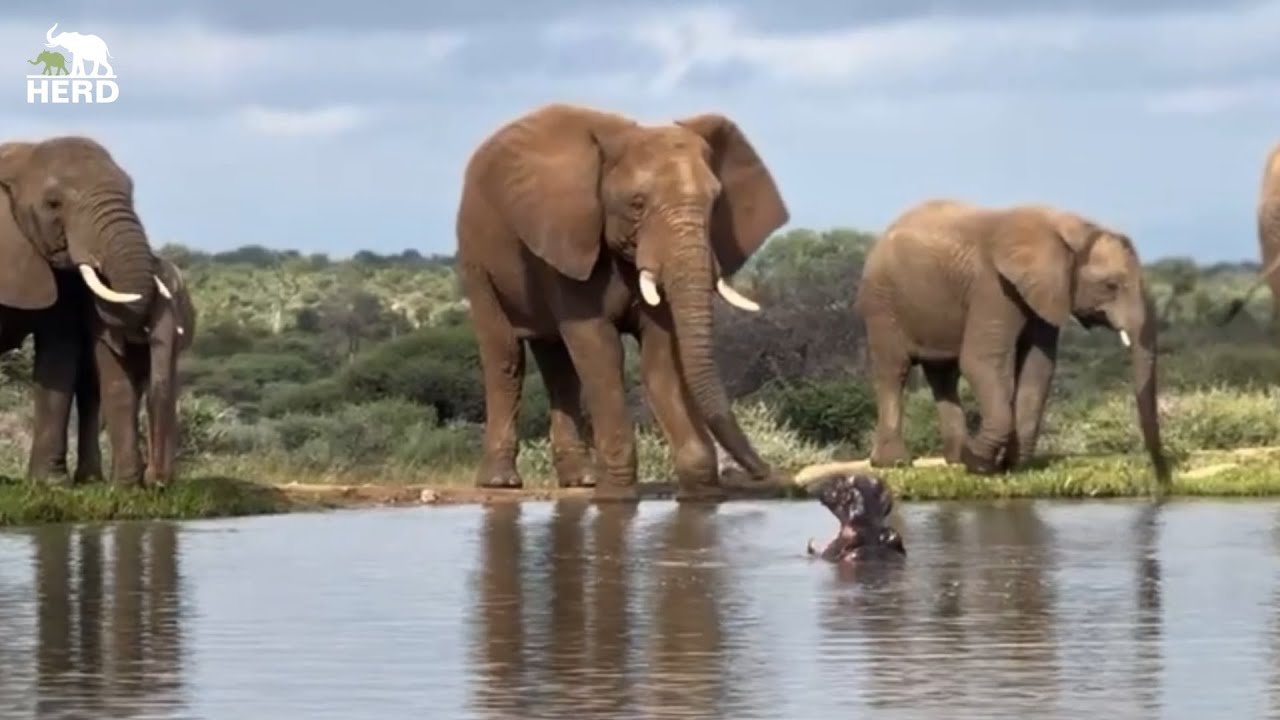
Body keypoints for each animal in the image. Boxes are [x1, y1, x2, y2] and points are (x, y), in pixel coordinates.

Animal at [455, 102, 791, 502]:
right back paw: (501, 482)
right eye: (637, 204)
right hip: (476, 255)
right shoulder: (570, 237)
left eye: (714, 203)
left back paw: (580, 480)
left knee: (558, 367)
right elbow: (601, 351)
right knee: (505, 357)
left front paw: (699, 494)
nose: (764, 474)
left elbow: (660, 354)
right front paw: (615, 497)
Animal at [854, 199, 1169, 483]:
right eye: (1111, 286)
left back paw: (955, 458)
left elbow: (1038, 367)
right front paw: (980, 464)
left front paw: (1011, 465)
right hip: (881, 301)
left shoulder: (1045, 292)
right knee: (894, 371)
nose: (1162, 479)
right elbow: (980, 360)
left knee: (943, 376)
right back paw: (894, 463)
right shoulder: (993, 287)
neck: (1069, 228)